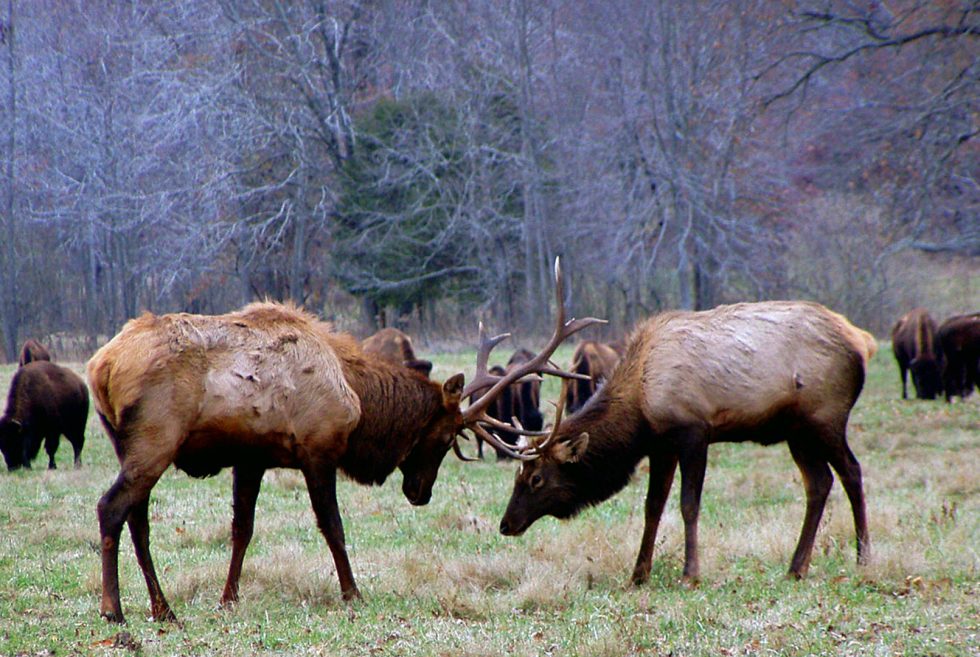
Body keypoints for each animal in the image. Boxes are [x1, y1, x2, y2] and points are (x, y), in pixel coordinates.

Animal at [87, 259, 601, 624]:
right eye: (444, 435)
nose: (420, 493)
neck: (359, 401)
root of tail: (100, 367)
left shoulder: (252, 458)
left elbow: (241, 530)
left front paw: (228, 599)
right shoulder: (318, 450)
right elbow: (333, 527)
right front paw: (353, 592)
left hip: (130, 445)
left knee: (138, 521)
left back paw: (163, 608)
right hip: (155, 439)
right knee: (111, 507)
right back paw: (114, 610)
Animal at [498, 301, 877, 587]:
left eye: (536, 478)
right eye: (517, 476)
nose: (505, 524)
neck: (640, 406)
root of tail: (862, 341)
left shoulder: (693, 431)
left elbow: (688, 505)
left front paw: (690, 574)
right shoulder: (660, 445)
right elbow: (652, 506)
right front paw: (638, 574)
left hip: (826, 417)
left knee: (852, 472)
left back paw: (863, 558)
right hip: (797, 431)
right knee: (819, 482)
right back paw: (796, 567)